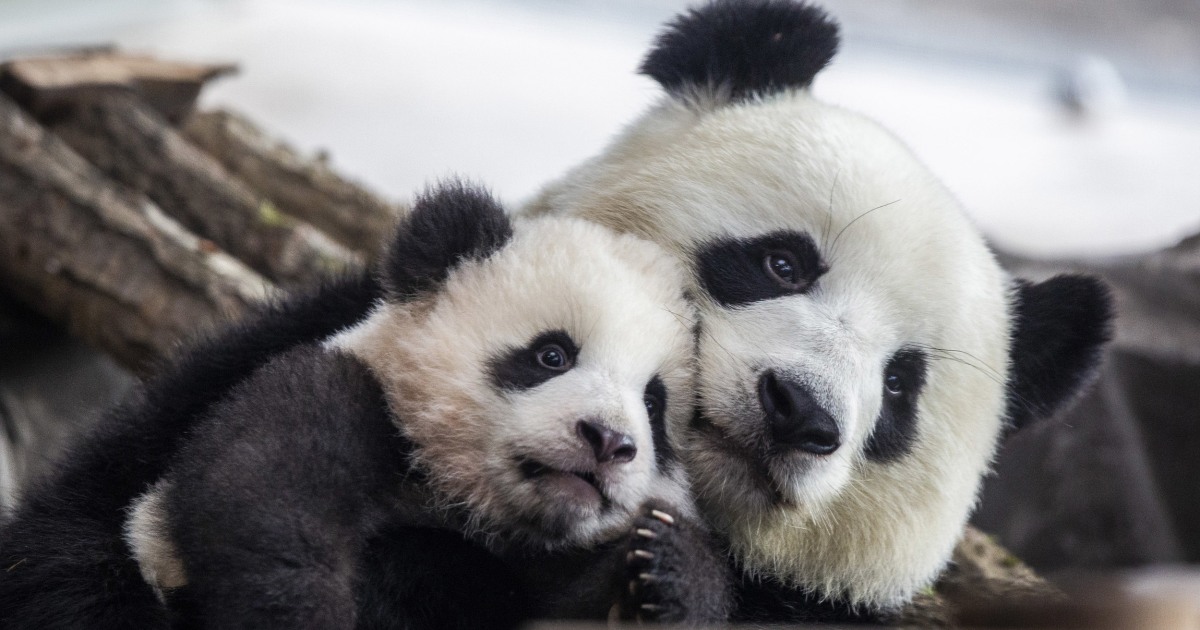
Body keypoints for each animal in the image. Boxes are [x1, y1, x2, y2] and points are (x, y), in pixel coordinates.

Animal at [0, 182, 732, 629]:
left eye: (654, 405)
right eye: (552, 354)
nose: (608, 441)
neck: (461, 504)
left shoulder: (539, 570)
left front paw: (665, 572)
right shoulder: (344, 393)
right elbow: (261, 492)